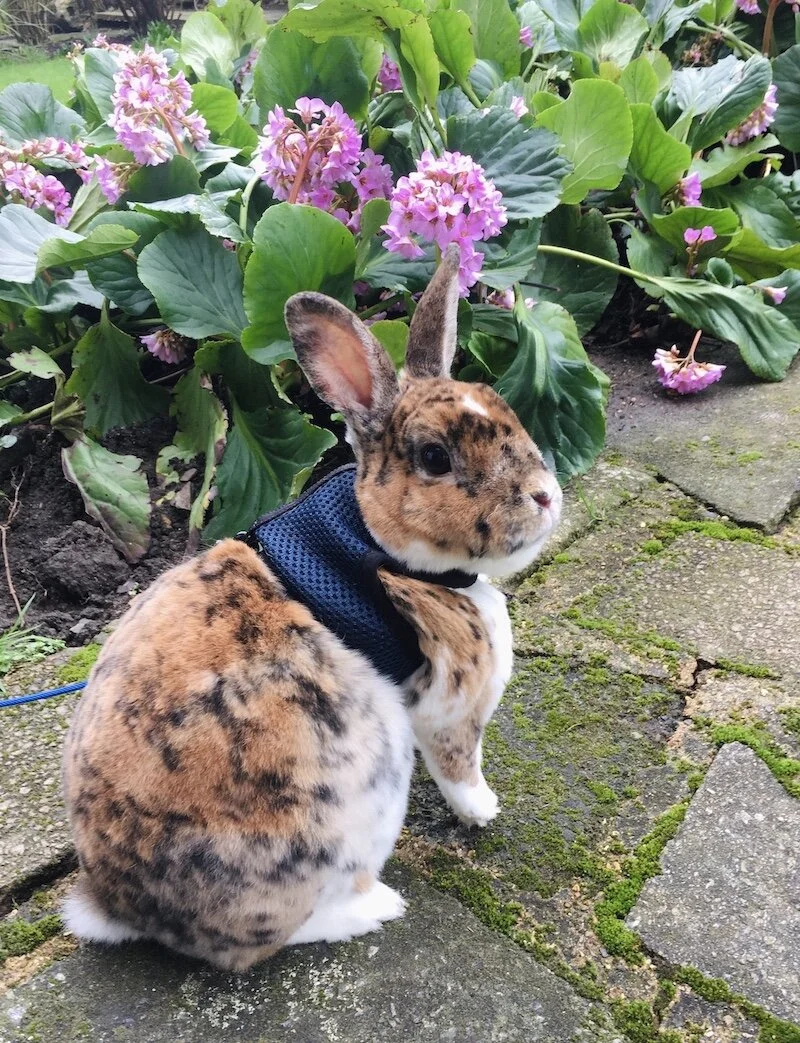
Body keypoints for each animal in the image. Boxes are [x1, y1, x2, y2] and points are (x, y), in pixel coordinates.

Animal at [61, 244, 562, 971]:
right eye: (435, 457)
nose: (545, 495)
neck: (378, 546)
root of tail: (119, 906)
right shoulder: (449, 709)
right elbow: (460, 764)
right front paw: (484, 809)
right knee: (261, 942)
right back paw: (375, 908)